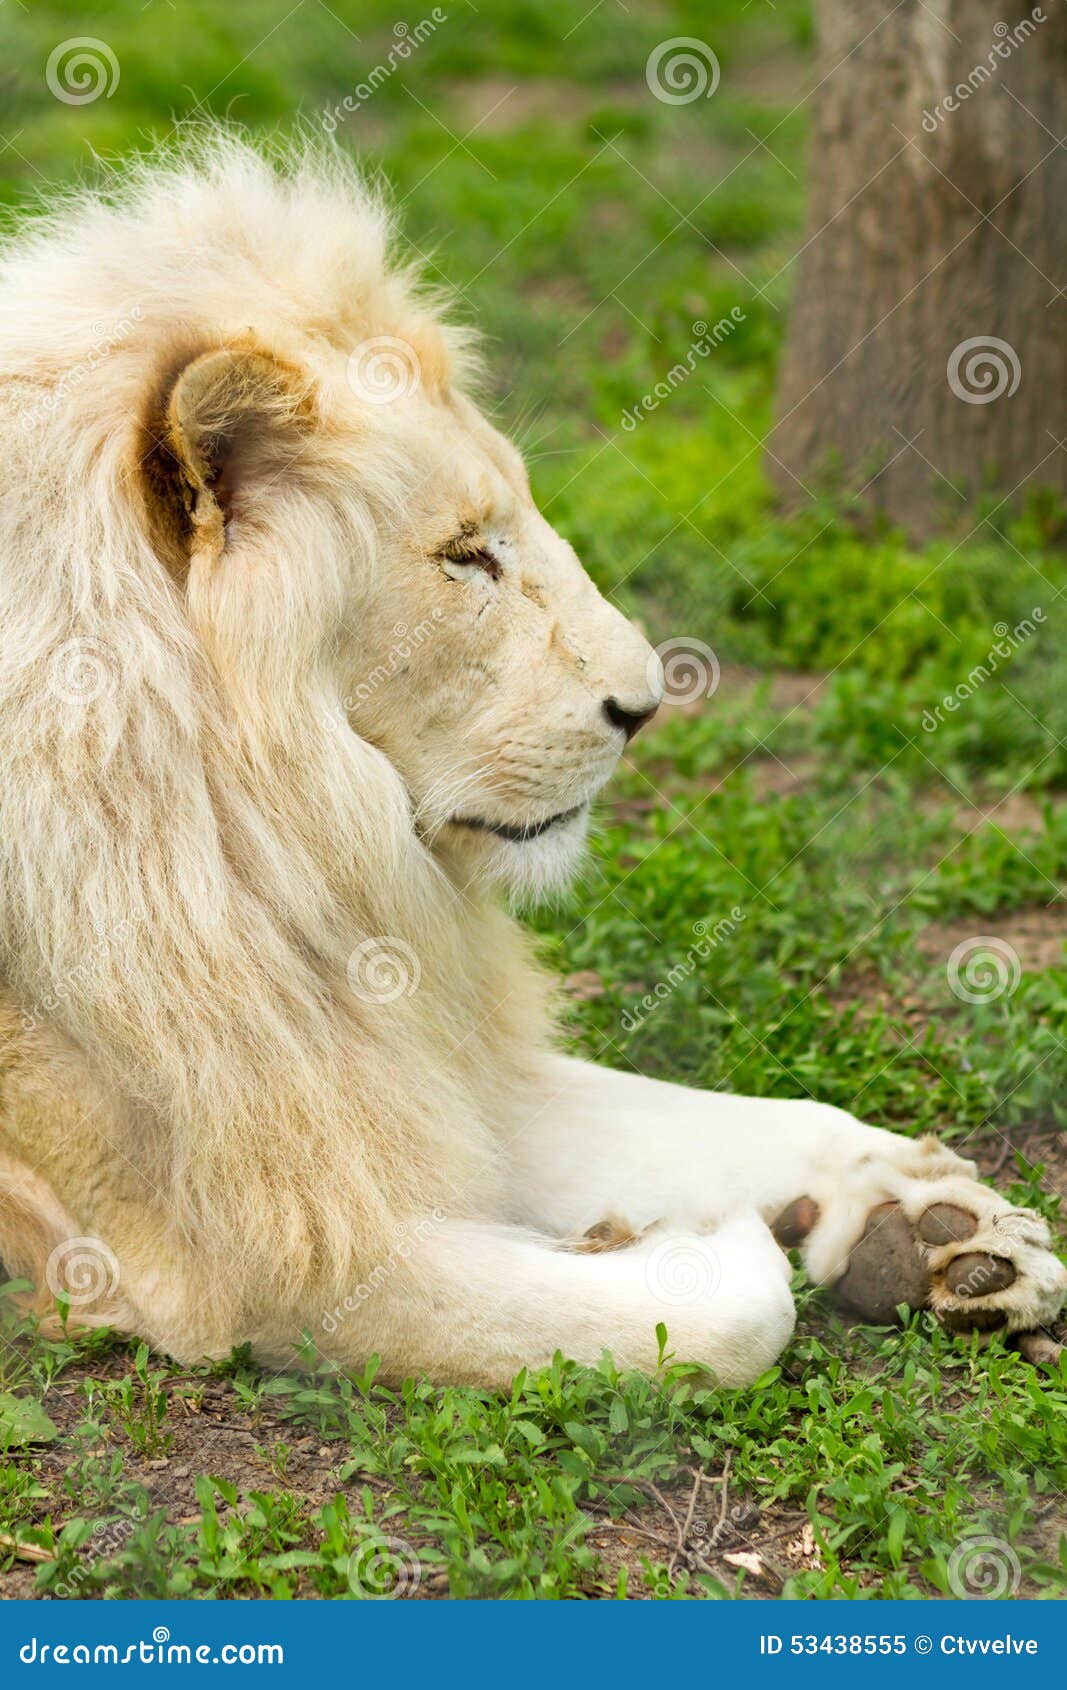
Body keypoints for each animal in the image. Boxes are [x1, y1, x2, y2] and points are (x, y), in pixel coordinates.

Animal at [0, 134, 1062, 1386]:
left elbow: (712, 1113)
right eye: (467, 556)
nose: (645, 704)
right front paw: (672, 1241)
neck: (262, 847)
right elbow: (727, 1313)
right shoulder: (219, 1246)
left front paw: (929, 1221)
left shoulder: (379, 1051)